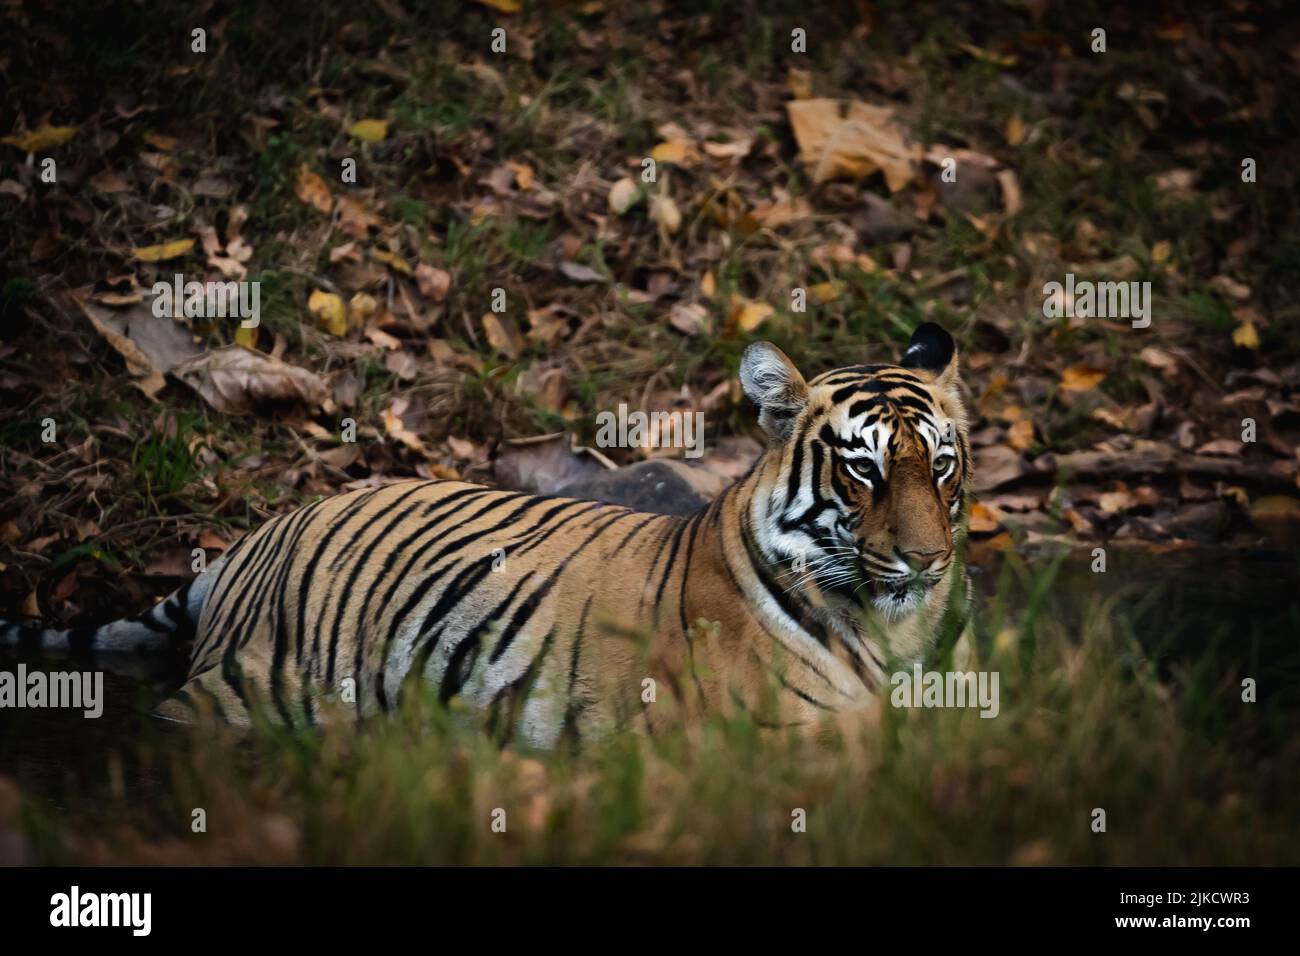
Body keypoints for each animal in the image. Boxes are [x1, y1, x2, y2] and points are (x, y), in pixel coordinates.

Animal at [1, 322, 972, 748]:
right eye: (863, 471)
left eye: (942, 468)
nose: (927, 560)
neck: (890, 627)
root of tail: (258, 534)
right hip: (259, 686)